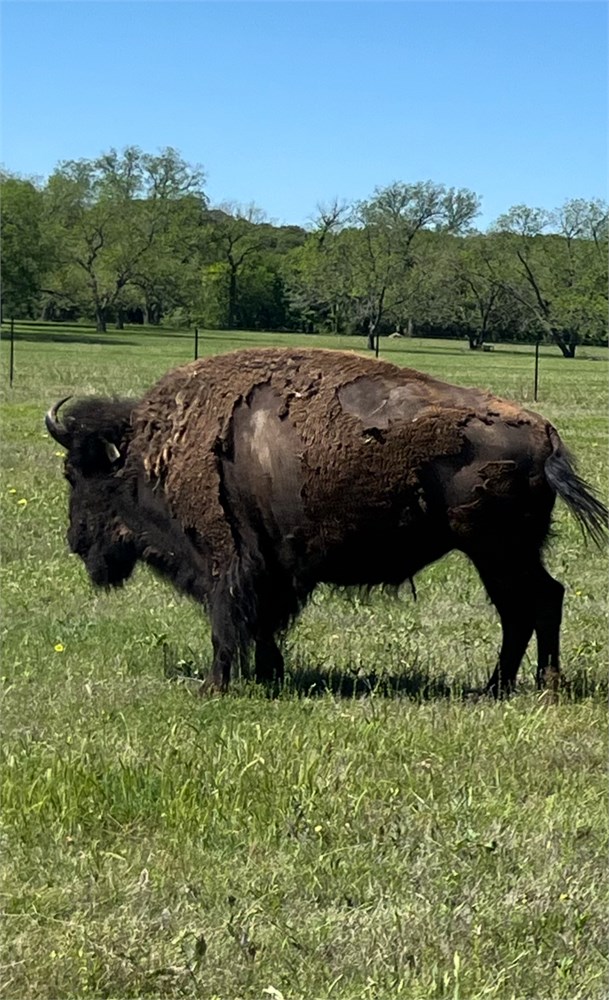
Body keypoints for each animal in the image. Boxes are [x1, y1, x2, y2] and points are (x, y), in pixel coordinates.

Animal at [46, 347, 607, 695]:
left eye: (76, 473)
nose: (75, 541)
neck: (153, 452)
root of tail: (544, 433)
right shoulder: (270, 570)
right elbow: (263, 625)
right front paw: (269, 676)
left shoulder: (226, 563)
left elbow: (226, 625)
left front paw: (213, 687)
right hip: (504, 553)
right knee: (530, 606)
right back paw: (501, 688)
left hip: (496, 551)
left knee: (533, 604)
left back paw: (533, 688)